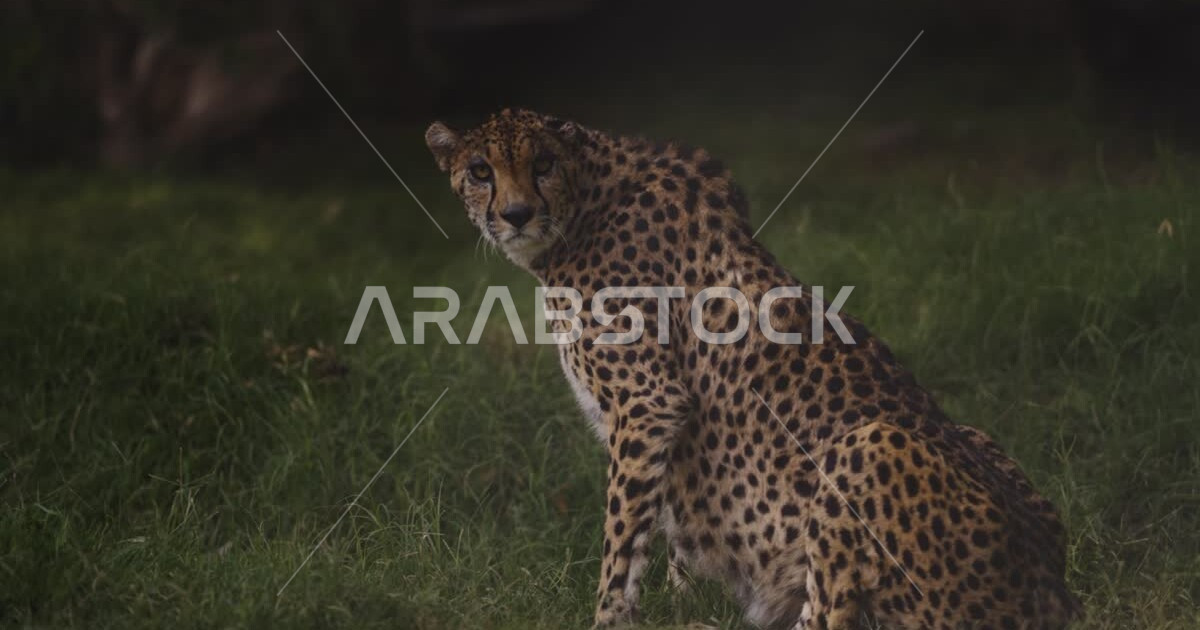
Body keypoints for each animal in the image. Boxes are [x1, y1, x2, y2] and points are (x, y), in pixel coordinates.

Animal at [425, 108, 1080, 629]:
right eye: (480, 170)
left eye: (543, 163)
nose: (515, 213)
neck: (582, 203)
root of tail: (1051, 592)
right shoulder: (666, 431)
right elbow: (673, 531)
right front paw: (684, 604)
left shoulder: (648, 405)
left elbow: (622, 540)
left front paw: (609, 620)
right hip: (977, 440)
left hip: (869, 446)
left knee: (829, 618)